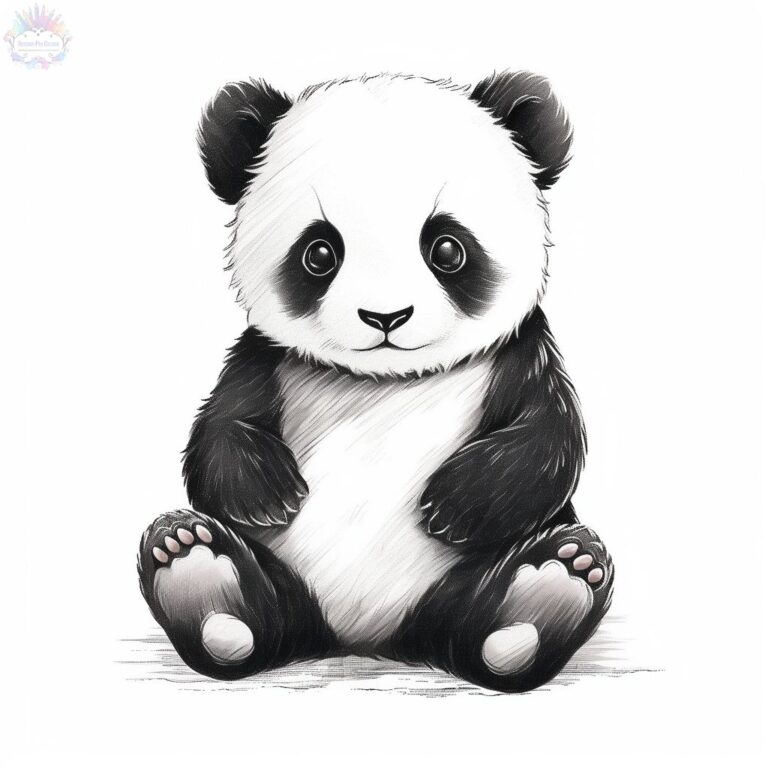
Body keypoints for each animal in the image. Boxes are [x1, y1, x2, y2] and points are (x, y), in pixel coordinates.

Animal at [138, 71, 614, 693]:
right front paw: (268, 494)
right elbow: (216, 429)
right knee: (262, 619)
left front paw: (454, 506)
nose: (385, 317)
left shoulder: (518, 354)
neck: (386, 381)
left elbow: (550, 433)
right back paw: (195, 572)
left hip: (456, 588)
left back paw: (549, 587)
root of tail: (367, 639)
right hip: (290, 586)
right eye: (320, 252)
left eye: (446, 247)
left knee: (477, 625)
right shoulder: (265, 359)